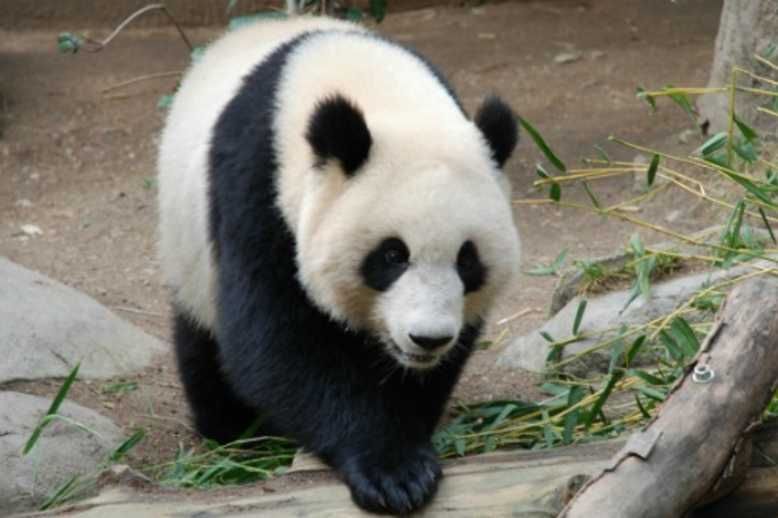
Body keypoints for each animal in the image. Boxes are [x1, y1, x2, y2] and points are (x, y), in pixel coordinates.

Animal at [157, 16, 520, 515]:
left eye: (467, 259)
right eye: (392, 255)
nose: (427, 339)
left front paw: (408, 436)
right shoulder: (258, 189)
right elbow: (278, 339)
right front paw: (391, 470)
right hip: (189, 250)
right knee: (202, 339)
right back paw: (233, 430)